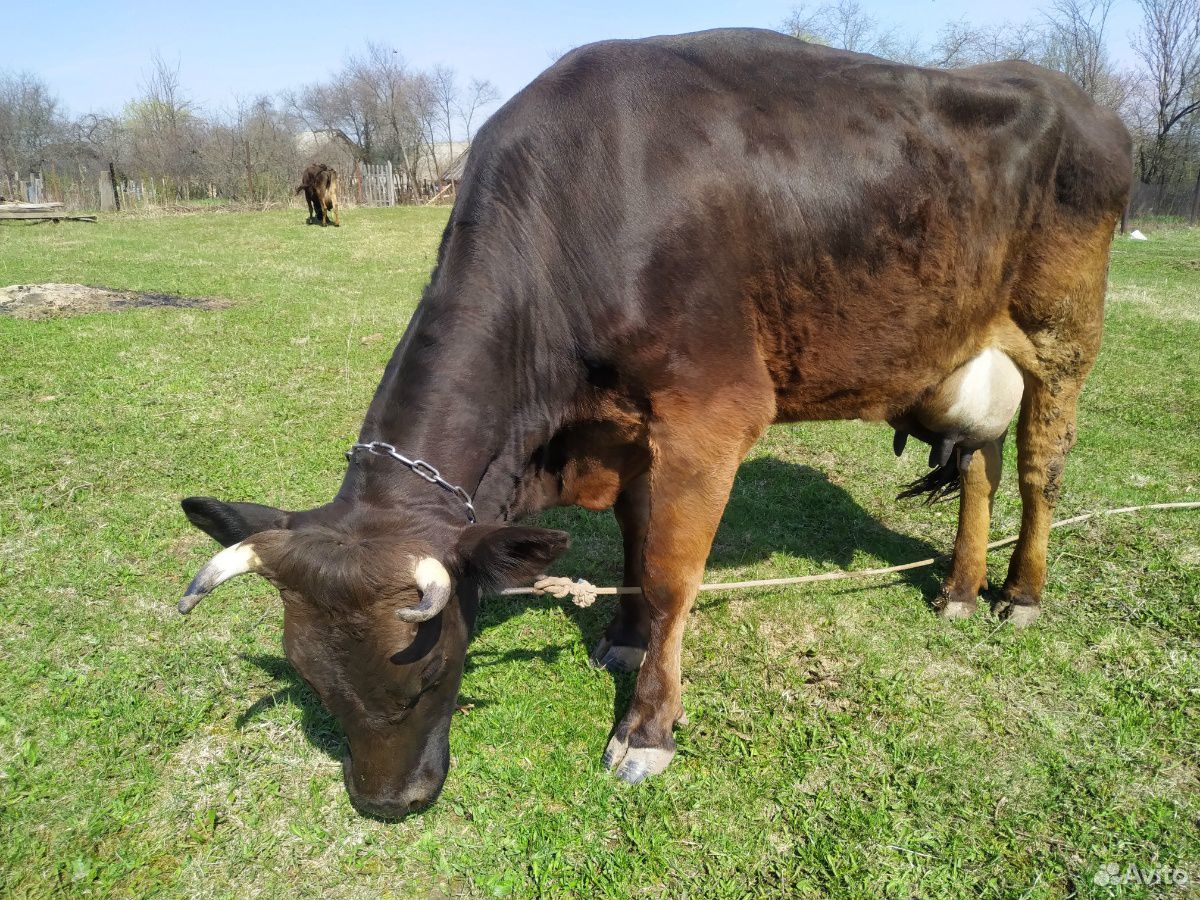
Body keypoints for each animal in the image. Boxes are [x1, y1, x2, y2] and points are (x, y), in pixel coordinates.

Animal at [178, 29, 1131, 818]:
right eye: (314, 680)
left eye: (429, 673)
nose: (387, 803)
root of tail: (1081, 99)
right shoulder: (625, 428)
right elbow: (638, 545)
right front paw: (624, 638)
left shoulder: (708, 414)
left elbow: (673, 575)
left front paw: (646, 730)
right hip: (963, 345)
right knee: (980, 467)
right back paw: (962, 587)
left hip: (1064, 332)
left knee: (1041, 466)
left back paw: (1020, 593)